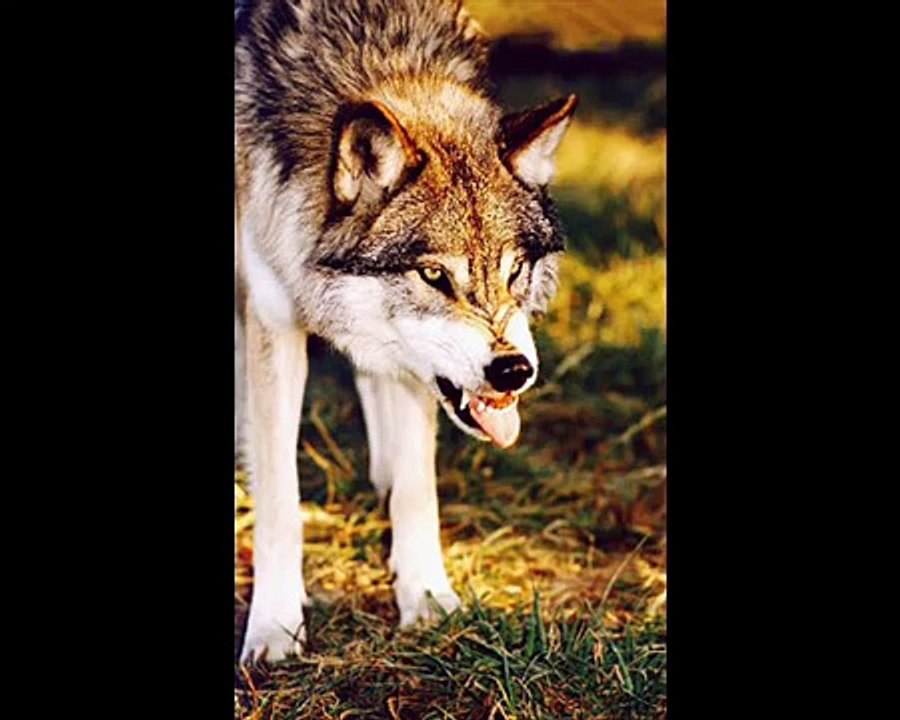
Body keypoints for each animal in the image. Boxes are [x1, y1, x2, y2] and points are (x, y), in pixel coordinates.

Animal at [235, 0, 577, 662]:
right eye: (434, 275)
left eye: (514, 269)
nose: (513, 370)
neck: (375, 53)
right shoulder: (272, 321)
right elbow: (280, 501)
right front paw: (274, 627)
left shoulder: (421, 366)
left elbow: (419, 486)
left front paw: (424, 597)